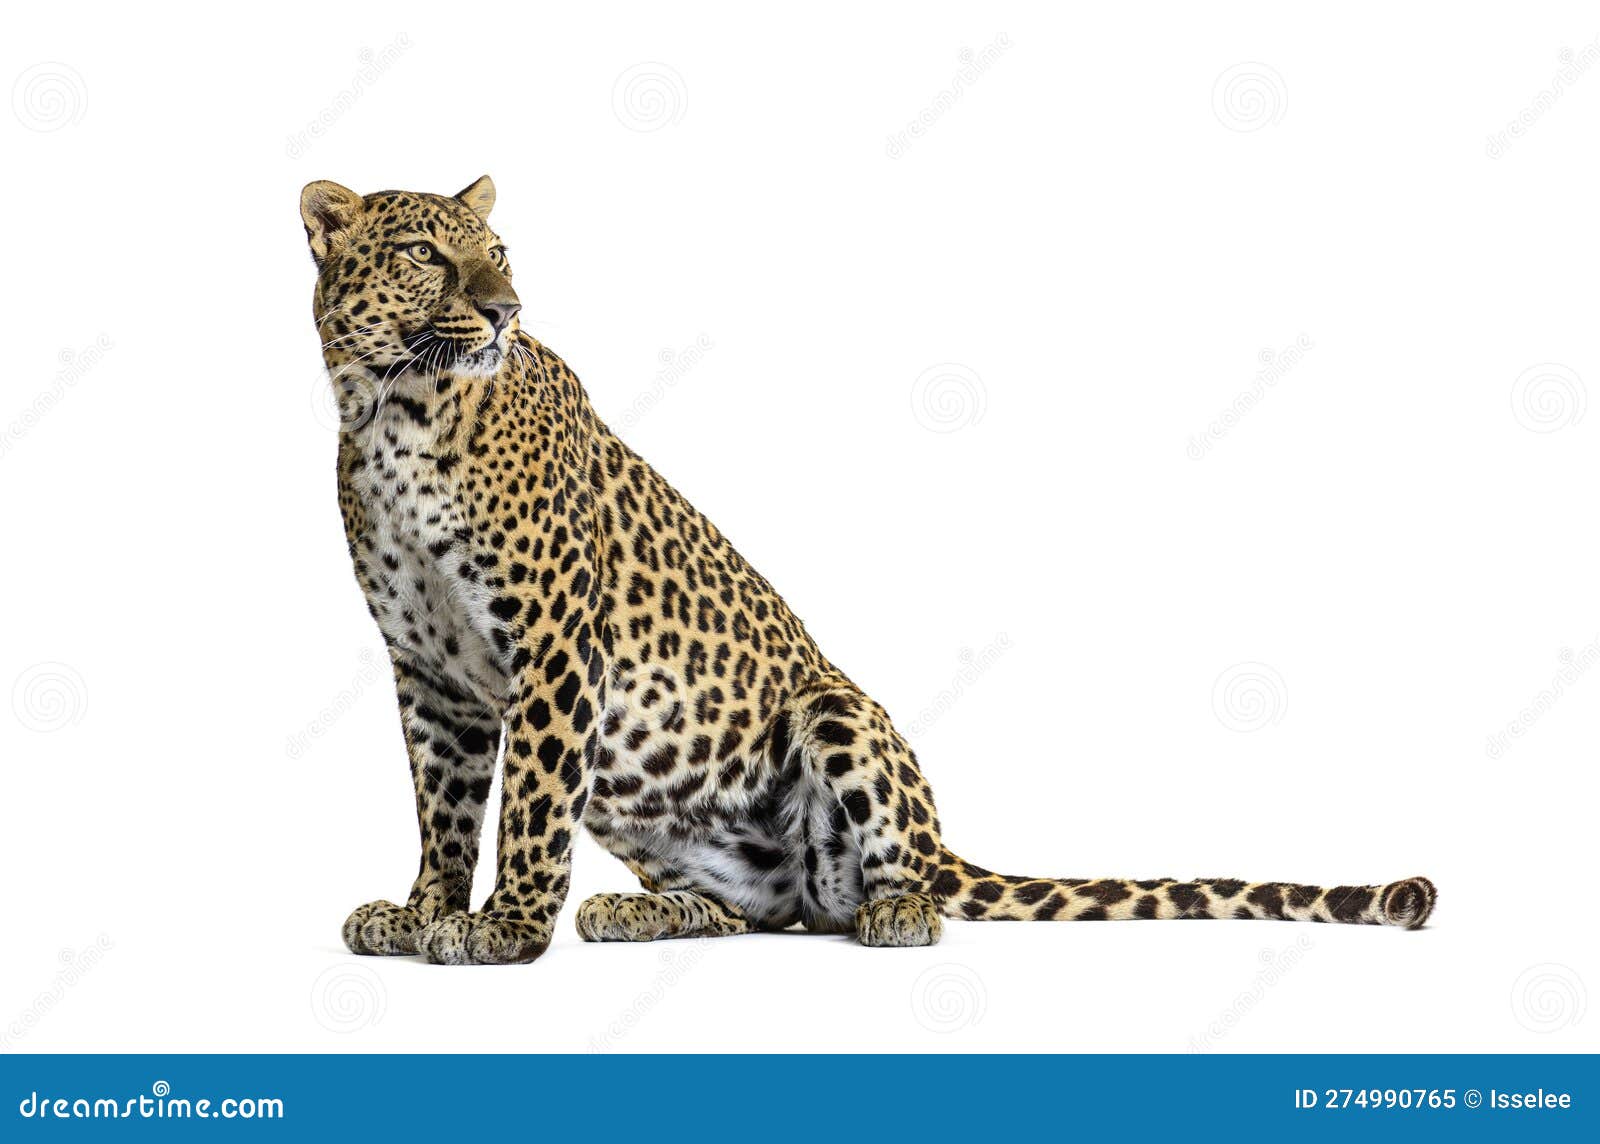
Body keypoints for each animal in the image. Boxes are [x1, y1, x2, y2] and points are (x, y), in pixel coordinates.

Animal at [301, 176, 1437, 964]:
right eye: (425, 254)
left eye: (498, 252)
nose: (505, 308)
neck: (392, 416)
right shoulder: (432, 675)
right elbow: (446, 808)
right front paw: (423, 913)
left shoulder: (555, 648)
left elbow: (530, 804)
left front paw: (506, 928)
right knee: (752, 915)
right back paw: (637, 909)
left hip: (834, 711)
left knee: (896, 888)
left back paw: (894, 912)